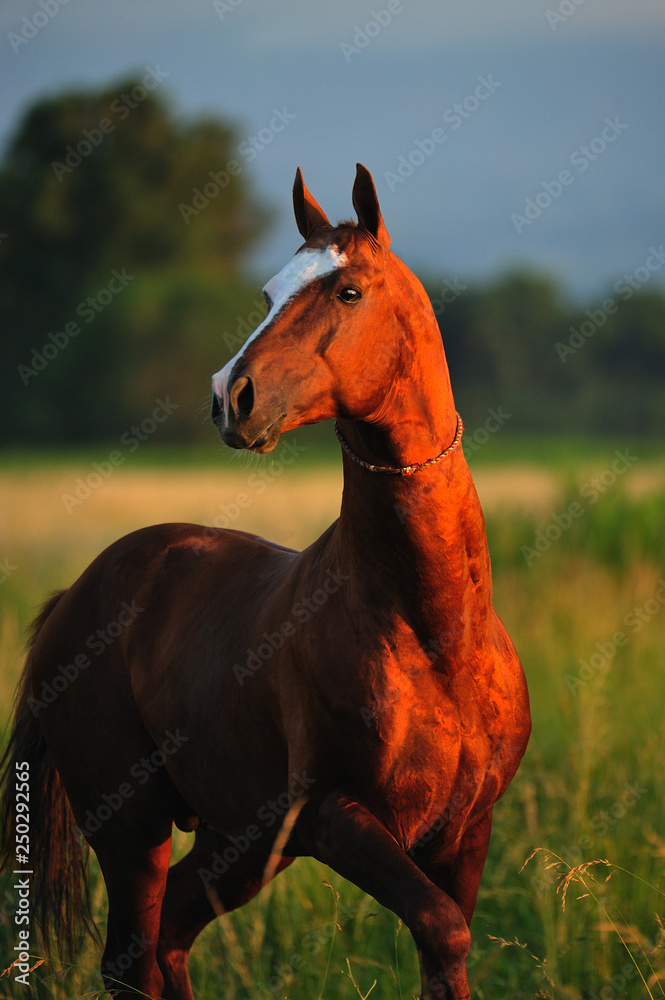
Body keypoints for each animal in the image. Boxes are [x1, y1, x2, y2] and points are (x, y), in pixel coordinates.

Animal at [0, 164, 531, 1000]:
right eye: (267, 293)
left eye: (348, 292)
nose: (230, 396)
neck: (429, 631)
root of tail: (75, 598)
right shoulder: (333, 816)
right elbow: (442, 930)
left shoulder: (464, 833)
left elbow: (444, 949)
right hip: (132, 826)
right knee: (133, 958)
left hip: (237, 839)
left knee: (168, 938)